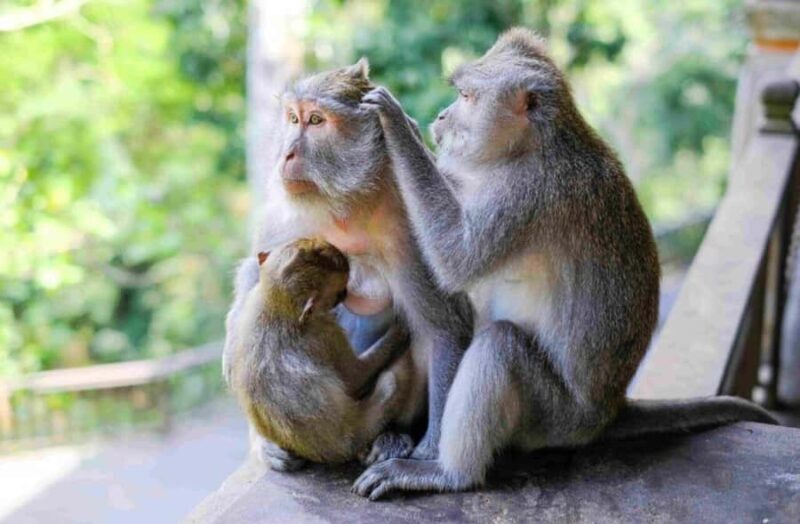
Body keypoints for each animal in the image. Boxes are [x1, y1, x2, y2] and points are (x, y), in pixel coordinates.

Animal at [229, 238, 416, 465]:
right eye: (339, 291)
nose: (346, 294)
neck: (276, 301)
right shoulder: (325, 332)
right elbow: (354, 378)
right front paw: (400, 330)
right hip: (360, 427)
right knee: (390, 383)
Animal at [353, 28, 777, 499]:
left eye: (465, 95)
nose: (442, 116)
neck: (528, 146)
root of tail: (609, 410)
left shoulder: (527, 192)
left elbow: (457, 258)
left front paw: (397, 125)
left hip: (556, 417)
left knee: (501, 345)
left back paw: (448, 473)